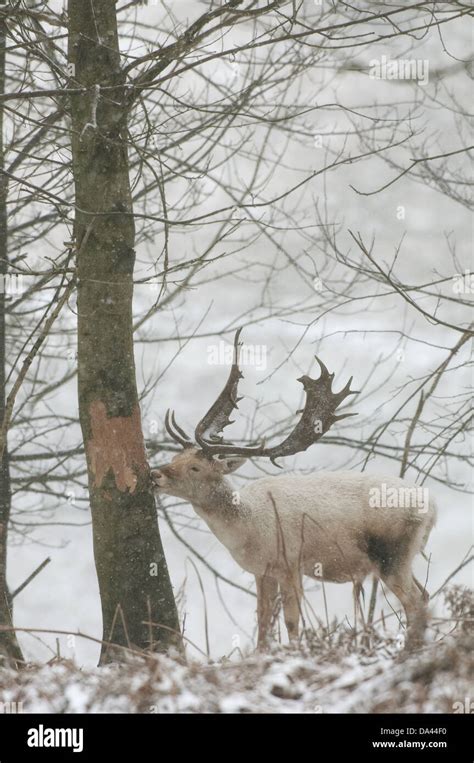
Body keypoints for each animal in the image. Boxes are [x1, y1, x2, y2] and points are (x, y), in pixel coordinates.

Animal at [151, 330, 436, 651]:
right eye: (176, 457)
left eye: (195, 468)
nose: (154, 474)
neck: (249, 531)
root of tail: (433, 507)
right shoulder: (262, 572)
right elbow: (263, 620)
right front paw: (261, 654)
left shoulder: (291, 563)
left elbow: (290, 620)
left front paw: (295, 651)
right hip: (404, 557)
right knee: (425, 595)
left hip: (392, 554)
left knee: (414, 601)